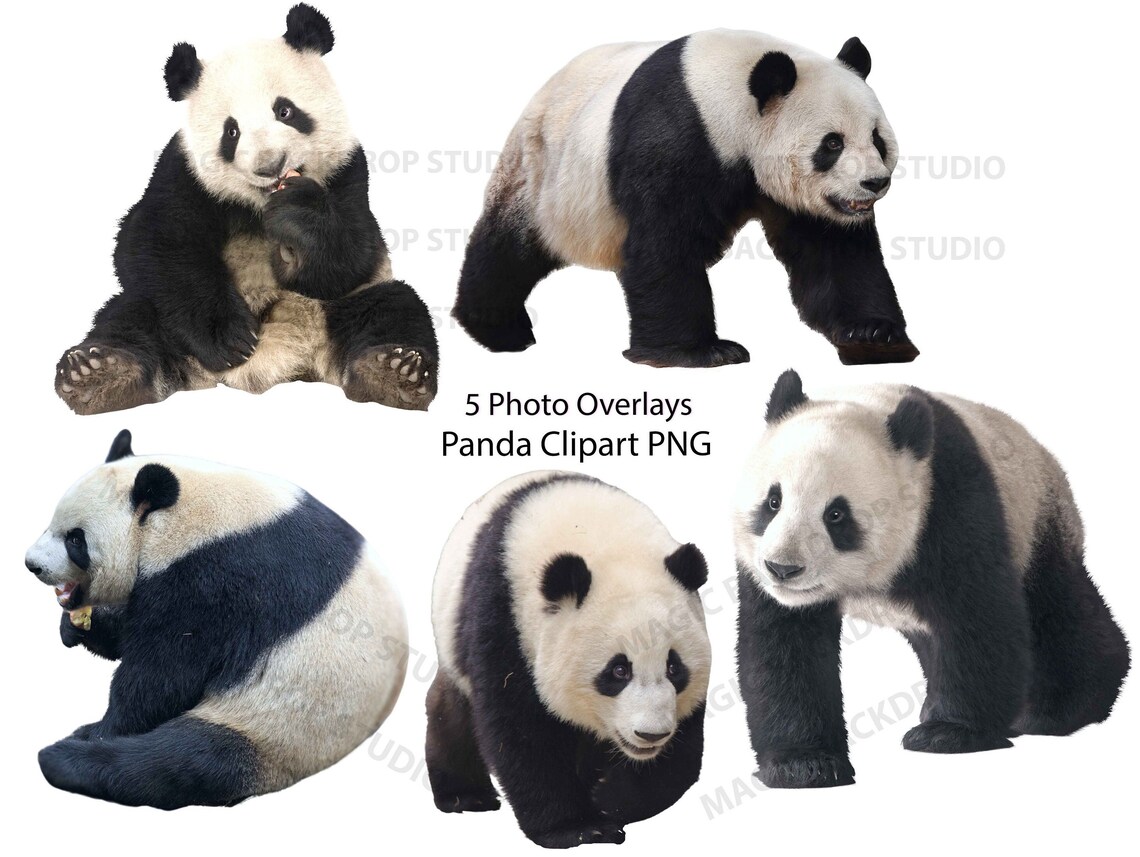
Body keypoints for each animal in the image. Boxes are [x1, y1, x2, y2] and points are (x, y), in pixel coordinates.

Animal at [23, 430, 408, 808]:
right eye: (52, 524)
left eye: (76, 540)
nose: (32, 564)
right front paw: (75, 626)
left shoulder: (219, 579)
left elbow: (164, 674)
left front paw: (105, 728)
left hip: (282, 721)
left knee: (184, 761)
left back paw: (66, 756)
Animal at [55, 4, 438, 415]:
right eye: (231, 132)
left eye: (285, 110)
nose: (270, 165)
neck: (258, 205)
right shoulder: (181, 174)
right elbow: (154, 239)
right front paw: (228, 338)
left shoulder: (349, 172)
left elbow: (354, 255)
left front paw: (298, 219)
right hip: (159, 314)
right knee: (129, 315)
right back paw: (101, 373)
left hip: (341, 308)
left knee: (392, 306)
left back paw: (392, 371)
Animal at [428, 472, 712, 848]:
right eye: (618, 670)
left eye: (674, 667)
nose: (650, 734)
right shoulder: (504, 617)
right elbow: (521, 733)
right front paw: (580, 827)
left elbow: (682, 752)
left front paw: (610, 798)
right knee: (453, 713)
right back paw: (464, 795)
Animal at [453, 29, 915, 368]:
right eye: (832, 144)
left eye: (877, 139)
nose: (874, 183)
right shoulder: (677, 135)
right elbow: (663, 242)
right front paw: (701, 352)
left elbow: (833, 251)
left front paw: (873, 334)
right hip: (543, 171)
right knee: (508, 249)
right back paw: (498, 329)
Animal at [734, 371, 1130, 787]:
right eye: (773, 501)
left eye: (836, 514)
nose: (783, 569)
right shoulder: (764, 580)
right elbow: (785, 648)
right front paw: (804, 763)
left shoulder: (951, 506)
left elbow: (977, 619)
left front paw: (951, 733)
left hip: (1036, 522)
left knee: (1058, 611)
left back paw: (1056, 707)